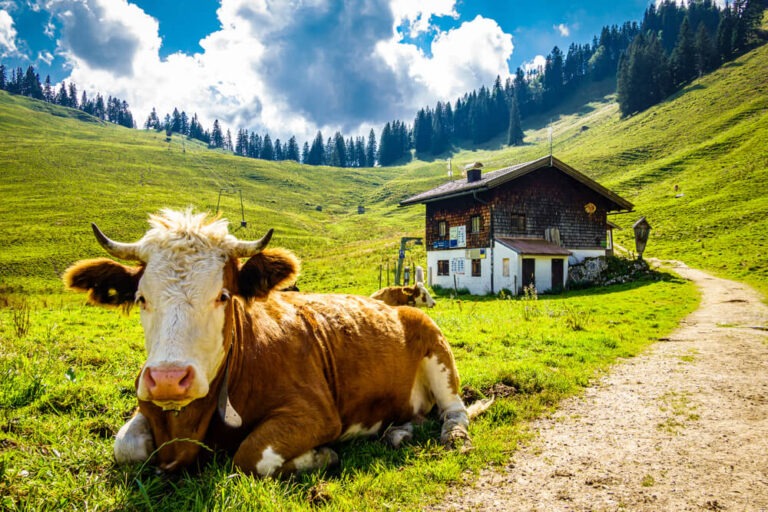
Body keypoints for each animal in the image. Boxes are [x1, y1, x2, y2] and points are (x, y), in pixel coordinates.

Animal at [63, 209, 490, 476]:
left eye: (223, 296)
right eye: (141, 298)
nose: (169, 379)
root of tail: (395, 307)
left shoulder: (315, 413)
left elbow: (250, 455)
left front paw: (321, 456)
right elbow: (125, 447)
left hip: (438, 354)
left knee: (454, 411)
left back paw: (453, 436)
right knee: (418, 416)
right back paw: (398, 433)